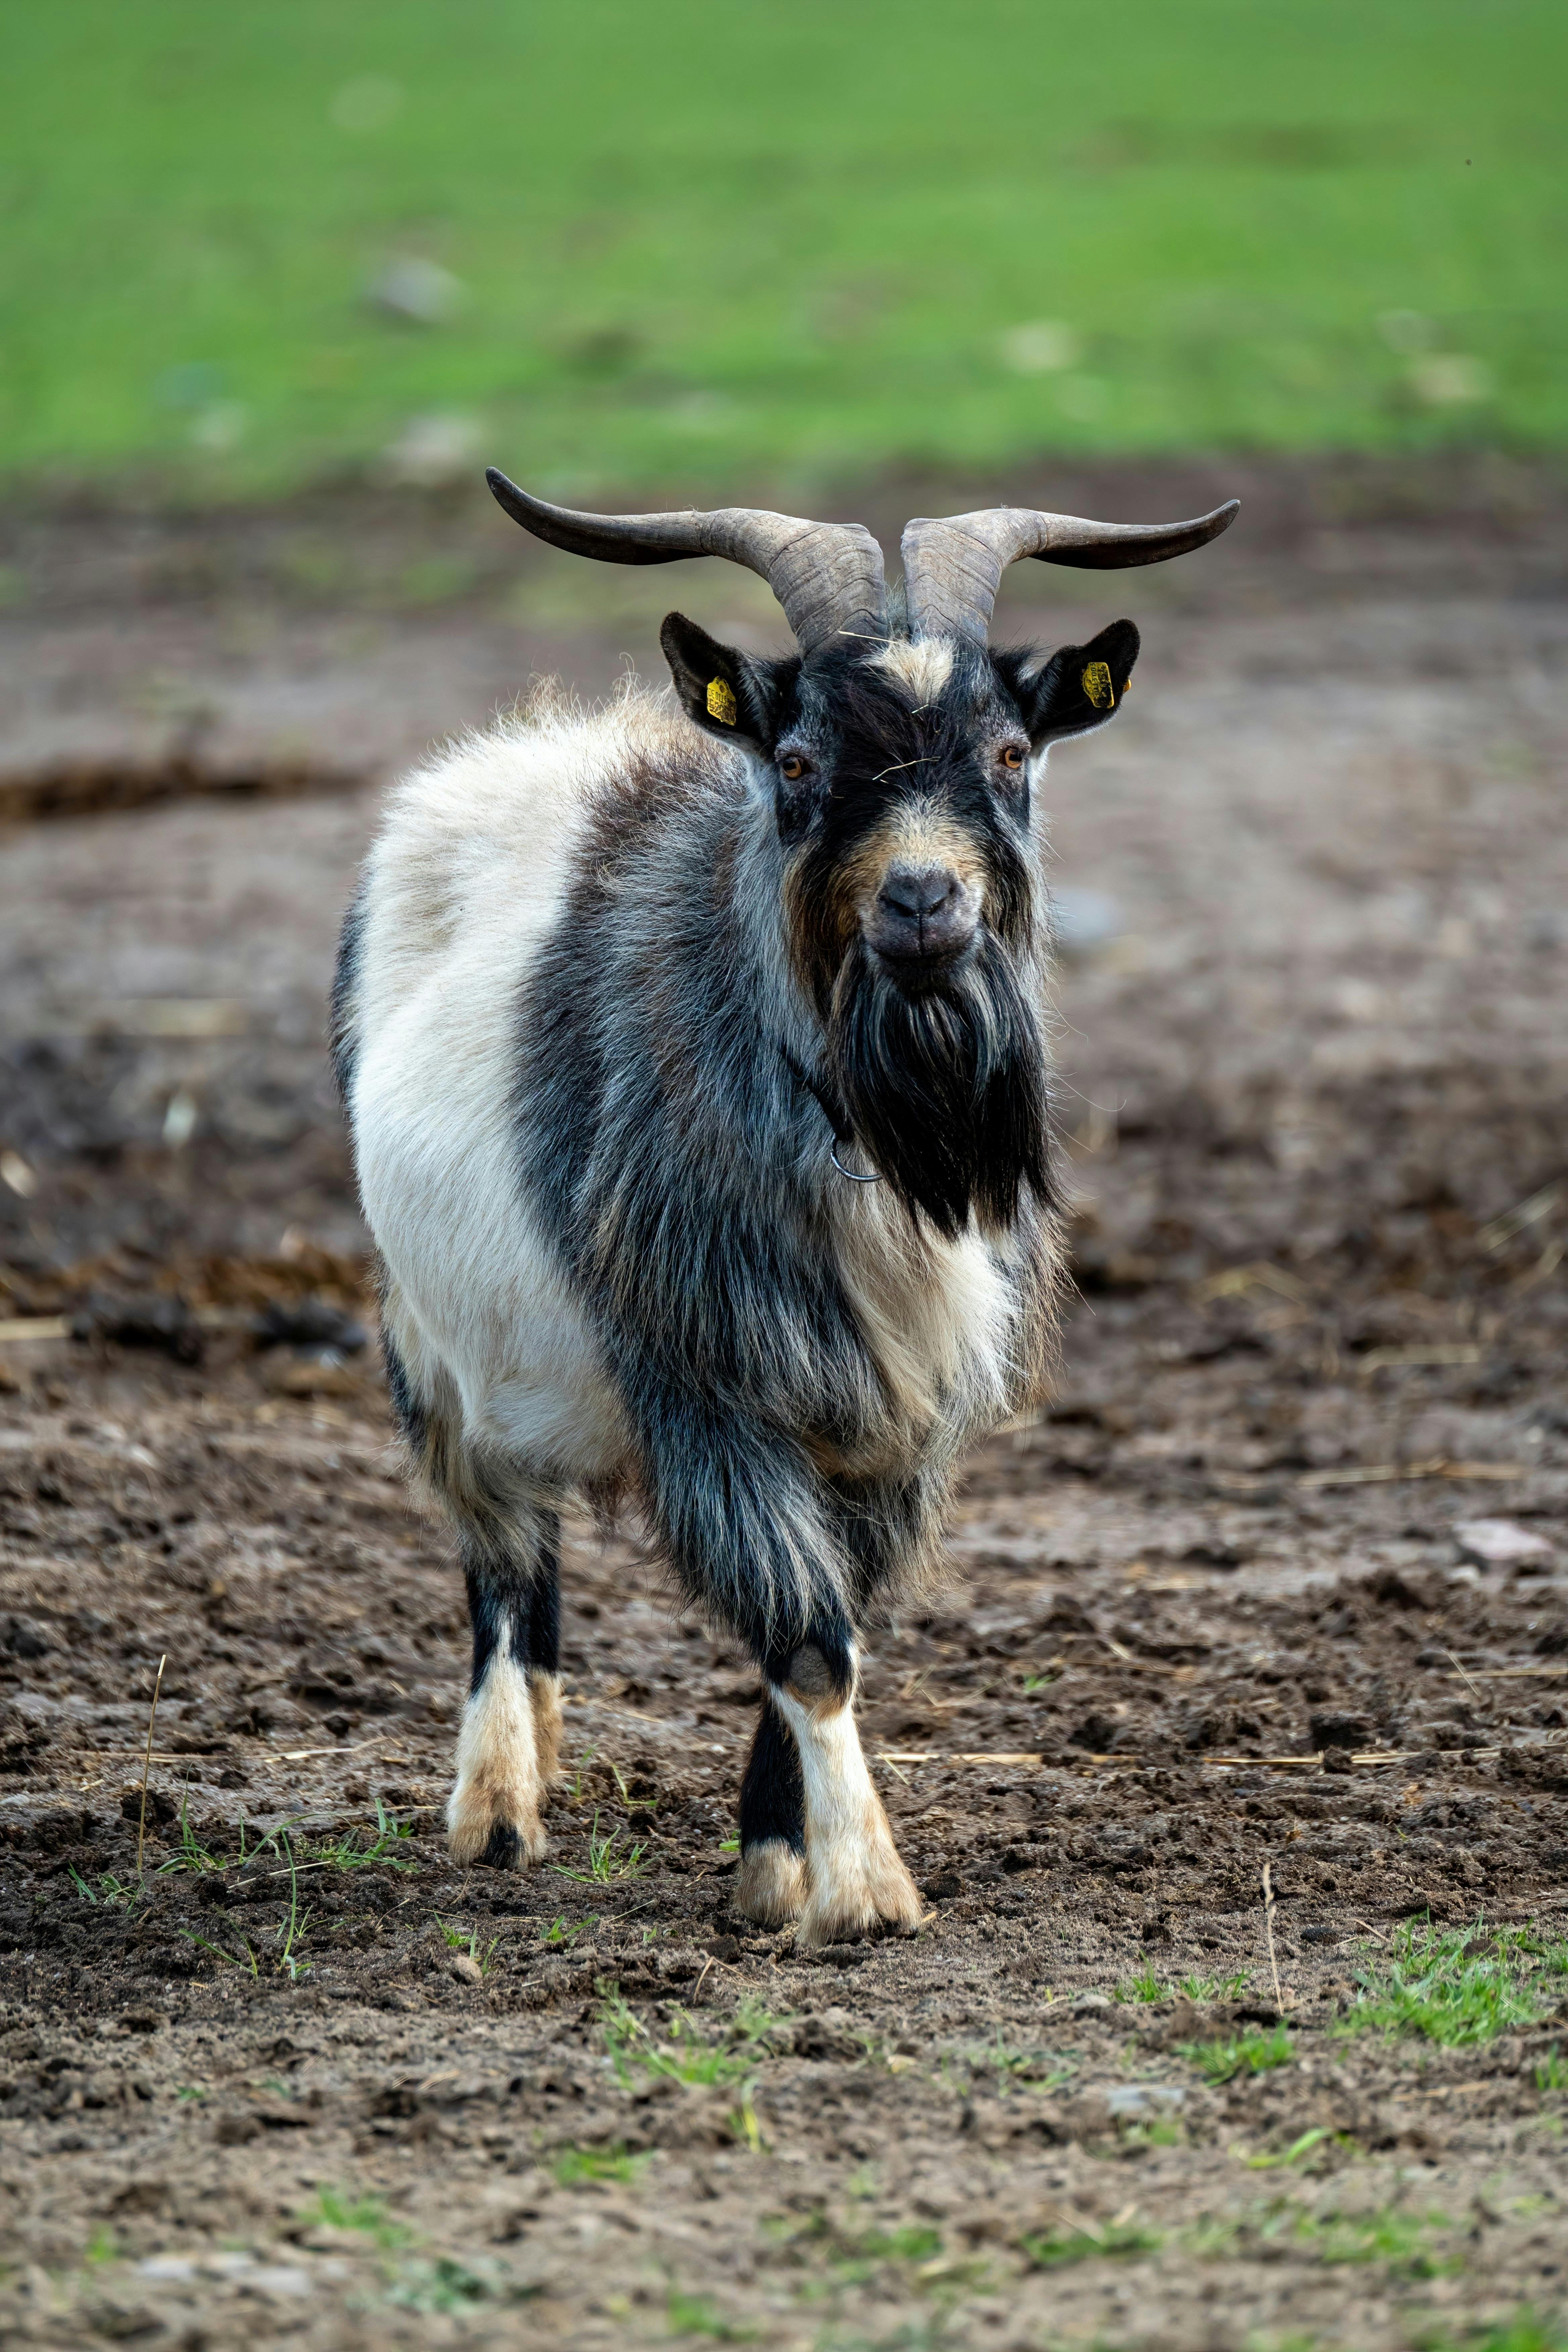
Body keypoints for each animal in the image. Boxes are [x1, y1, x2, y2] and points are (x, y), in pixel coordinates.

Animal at [332, 473, 1237, 1947]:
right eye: (802, 762)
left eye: (1009, 752)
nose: (923, 899)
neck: (870, 1135)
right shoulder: (706, 1384)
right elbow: (808, 1644)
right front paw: (864, 1891)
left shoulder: (896, 1422)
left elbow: (833, 1626)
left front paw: (769, 1864)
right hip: (430, 1342)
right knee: (505, 1563)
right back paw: (498, 1809)